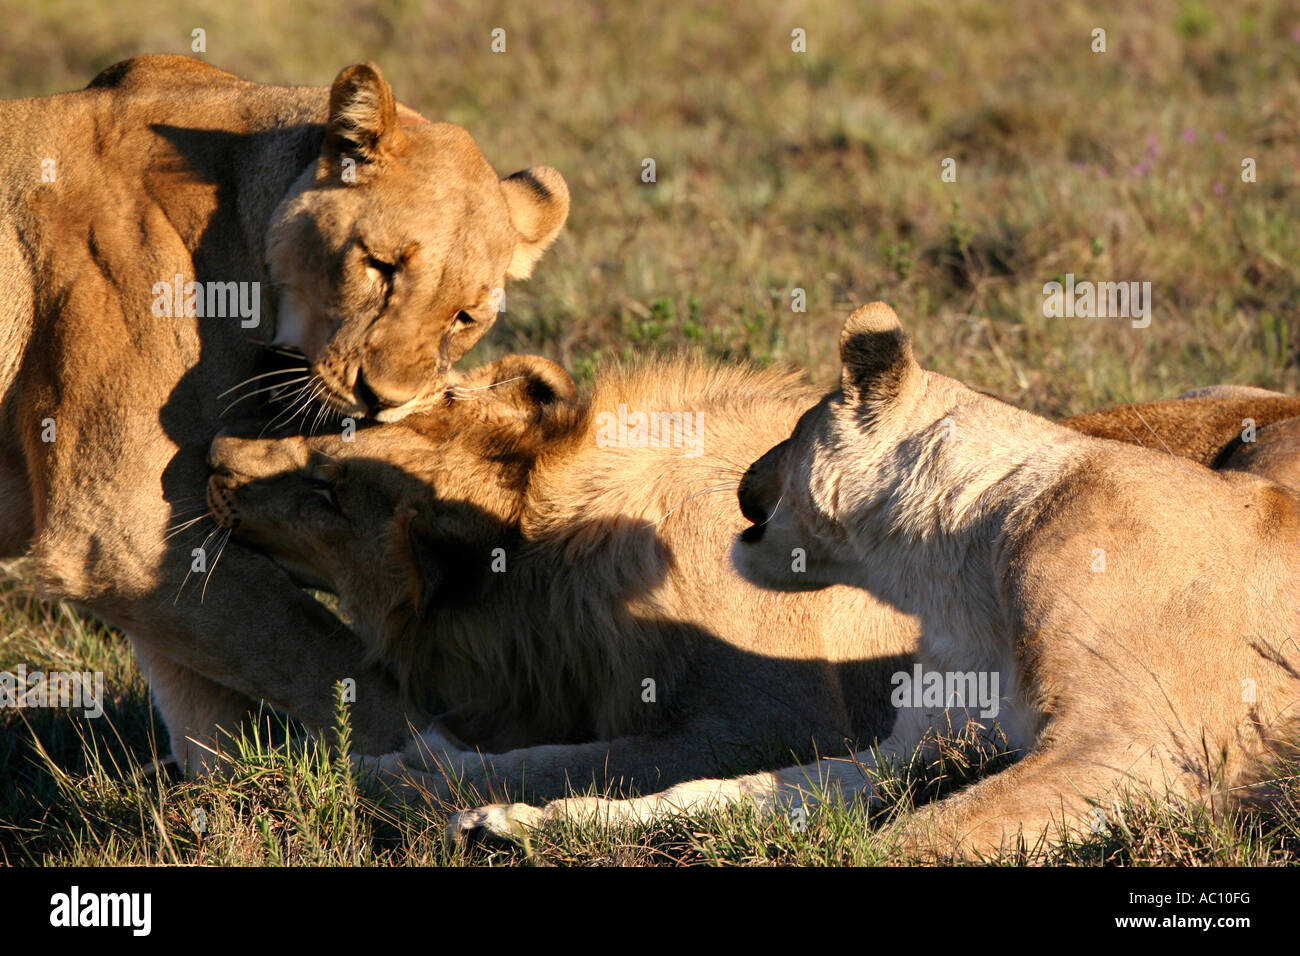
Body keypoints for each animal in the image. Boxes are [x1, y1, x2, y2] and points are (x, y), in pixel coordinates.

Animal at [0, 56, 568, 771]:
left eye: (466, 316)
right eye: (379, 266)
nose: (385, 398)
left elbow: (210, 713)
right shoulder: (117, 527)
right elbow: (333, 664)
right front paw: (444, 770)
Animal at [206, 346, 1300, 839]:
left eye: (327, 487)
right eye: (339, 431)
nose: (209, 459)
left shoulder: (763, 717)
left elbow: (594, 756)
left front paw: (392, 770)